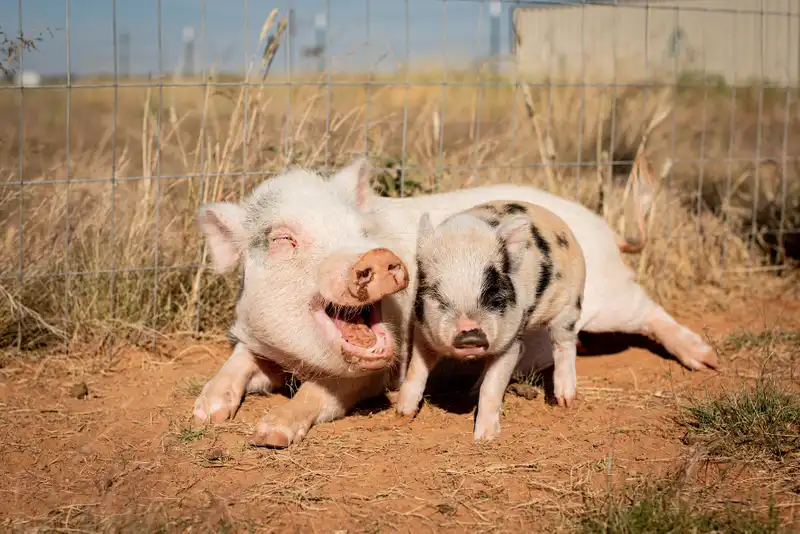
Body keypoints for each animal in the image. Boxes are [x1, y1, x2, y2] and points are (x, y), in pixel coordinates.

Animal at [395, 201, 586, 440]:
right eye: (437, 296)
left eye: (492, 295)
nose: (470, 335)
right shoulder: (423, 331)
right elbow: (416, 369)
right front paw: (402, 414)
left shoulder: (509, 340)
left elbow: (493, 385)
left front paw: (485, 438)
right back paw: (469, 392)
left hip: (570, 305)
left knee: (564, 344)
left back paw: (564, 401)